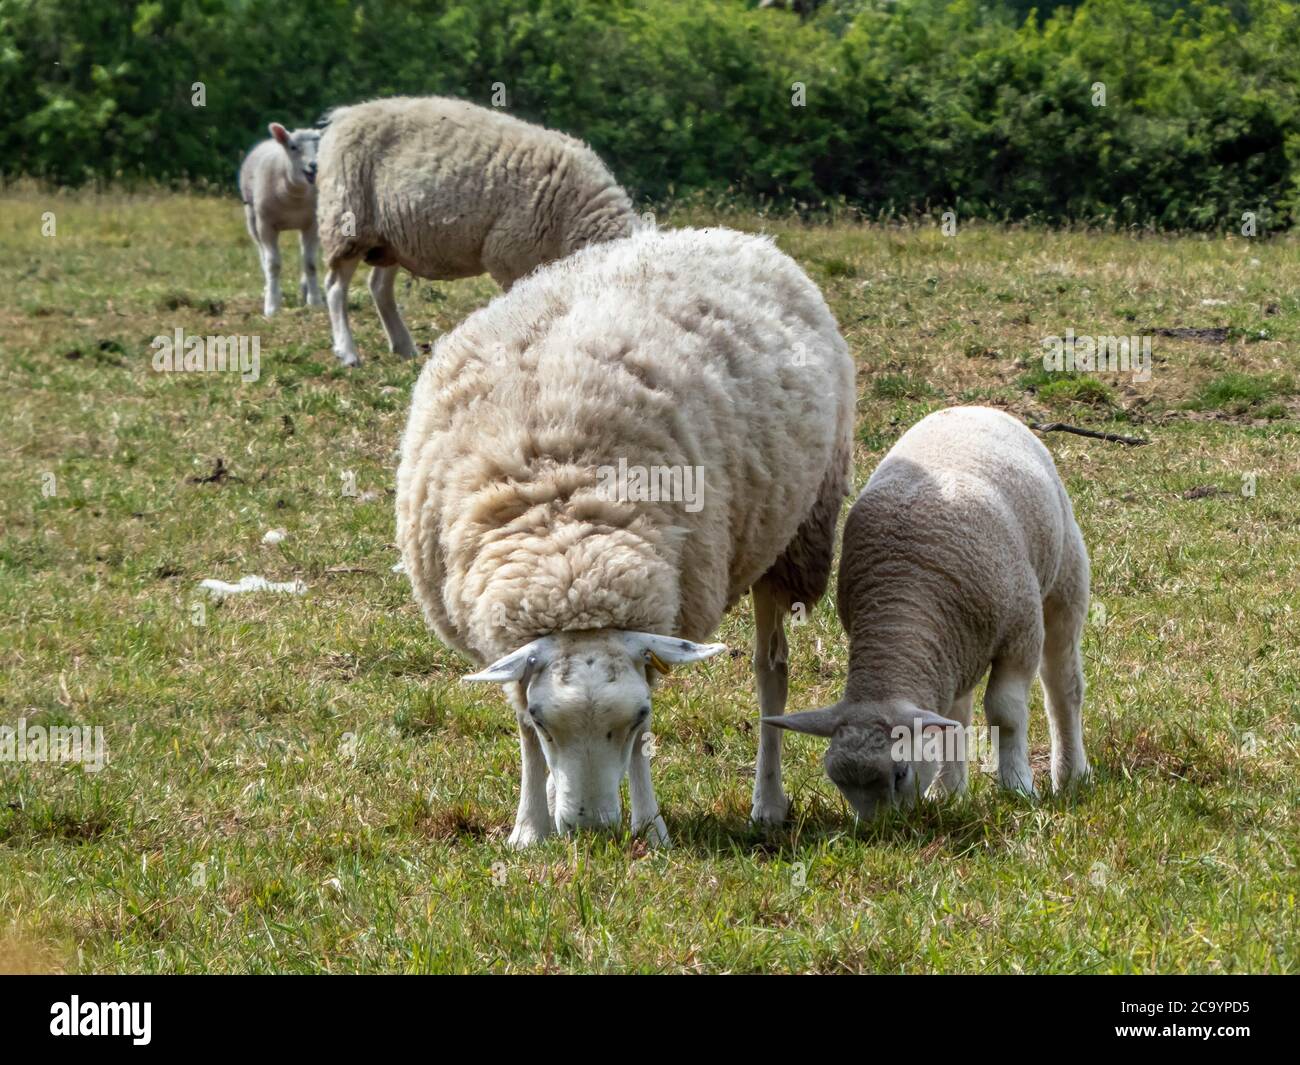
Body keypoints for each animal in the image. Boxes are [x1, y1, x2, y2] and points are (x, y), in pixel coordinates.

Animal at [238, 123, 324, 316]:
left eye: (319, 145)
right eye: (293, 147)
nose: (314, 165)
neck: (293, 197)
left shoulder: (312, 224)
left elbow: (310, 263)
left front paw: (315, 301)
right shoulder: (266, 225)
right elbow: (273, 264)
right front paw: (272, 306)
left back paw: (304, 288)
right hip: (252, 219)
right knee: (263, 255)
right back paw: (270, 289)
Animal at [316, 95, 638, 367]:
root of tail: (345, 114)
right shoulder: (511, 257)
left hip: (392, 236)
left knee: (378, 287)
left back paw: (404, 347)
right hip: (347, 217)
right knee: (335, 286)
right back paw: (347, 351)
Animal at [395, 226, 855, 846]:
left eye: (638, 717)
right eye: (543, 719)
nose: (590, 829)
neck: (571, 556)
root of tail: (733, 234)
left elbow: (641, 747)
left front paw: (650, 825)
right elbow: (523, 732)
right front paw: (532, 825)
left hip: (793, 536)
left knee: (771, 669)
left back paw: (768, 803)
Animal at [767, 406, 1091, 818]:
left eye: (900, 774)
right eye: (838, 782)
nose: (877, 829)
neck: (905, 598)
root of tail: (974, 407)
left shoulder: (1021, 634)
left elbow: (1005, 713)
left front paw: (1018, 787)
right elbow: (946, 725)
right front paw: (947, 793)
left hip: (1065, 578)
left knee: (1063, 684)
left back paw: (1071, 774)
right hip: (957, 649)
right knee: (956, 709)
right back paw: (951, 788)